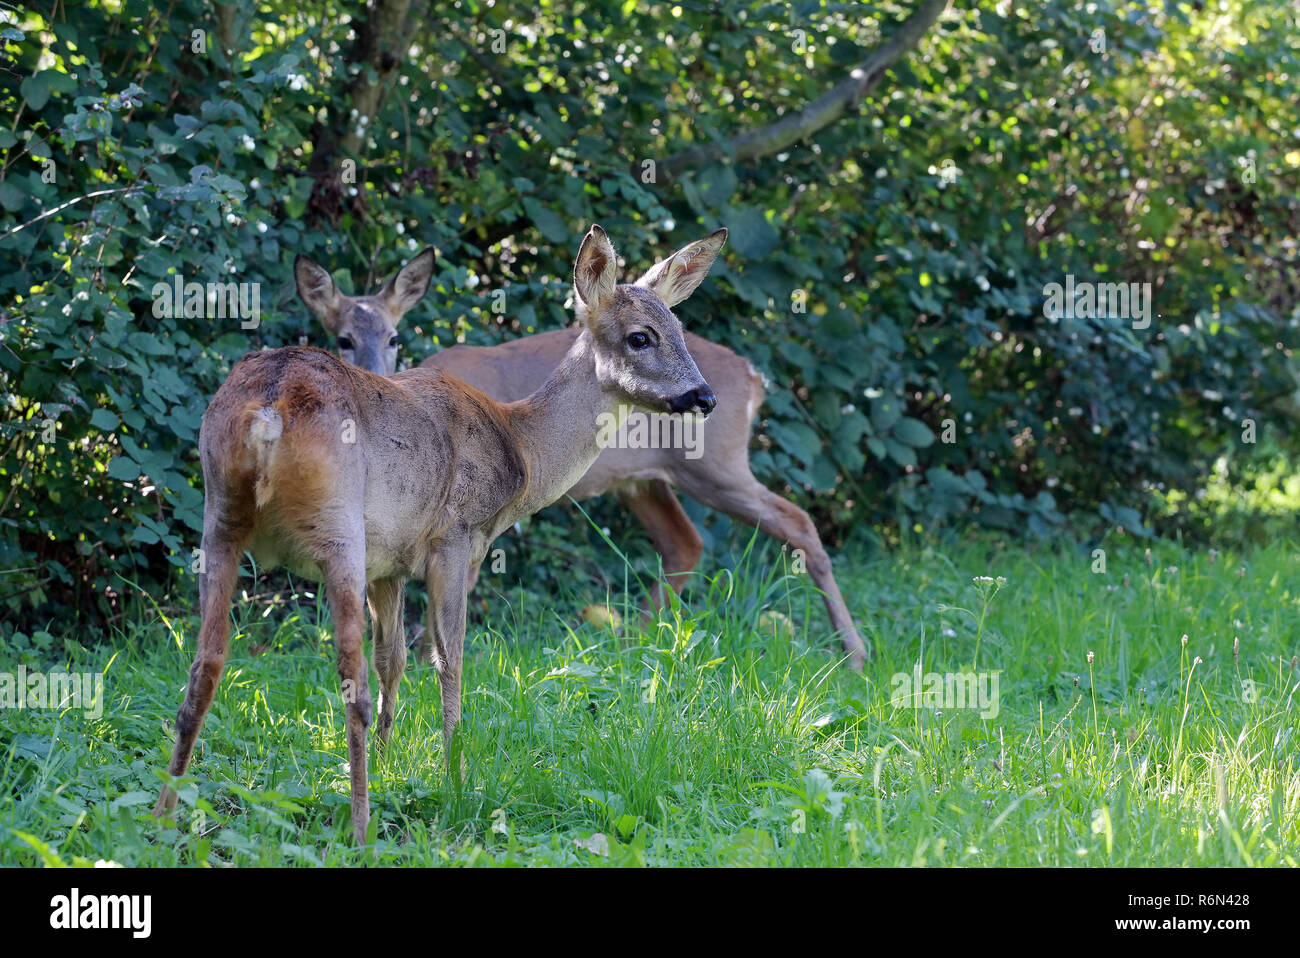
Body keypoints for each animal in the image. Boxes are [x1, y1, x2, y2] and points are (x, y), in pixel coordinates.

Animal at [154, 225, 722, 844]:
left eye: (681, 331)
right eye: (640, 337)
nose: (705, 397)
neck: (520, 447)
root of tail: (268, 411)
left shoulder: (391, 562)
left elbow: (394, 658)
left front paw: (391, 758)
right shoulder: (455, 538)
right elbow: (448, 656)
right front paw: (455, 774)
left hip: (218, 518)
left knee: (205, 663)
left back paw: (162, 817)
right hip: (338, 529)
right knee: (347, 674)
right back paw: (360, 827)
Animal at [303, 247, 869, 671]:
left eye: (394, 336)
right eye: (342, 338)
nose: (370, 373)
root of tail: (755, 378)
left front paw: (426, 662)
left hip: (715, 465)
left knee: (796, 520)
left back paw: (855, 654)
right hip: (644, 479)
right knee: (685, 543)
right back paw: (630, 643)